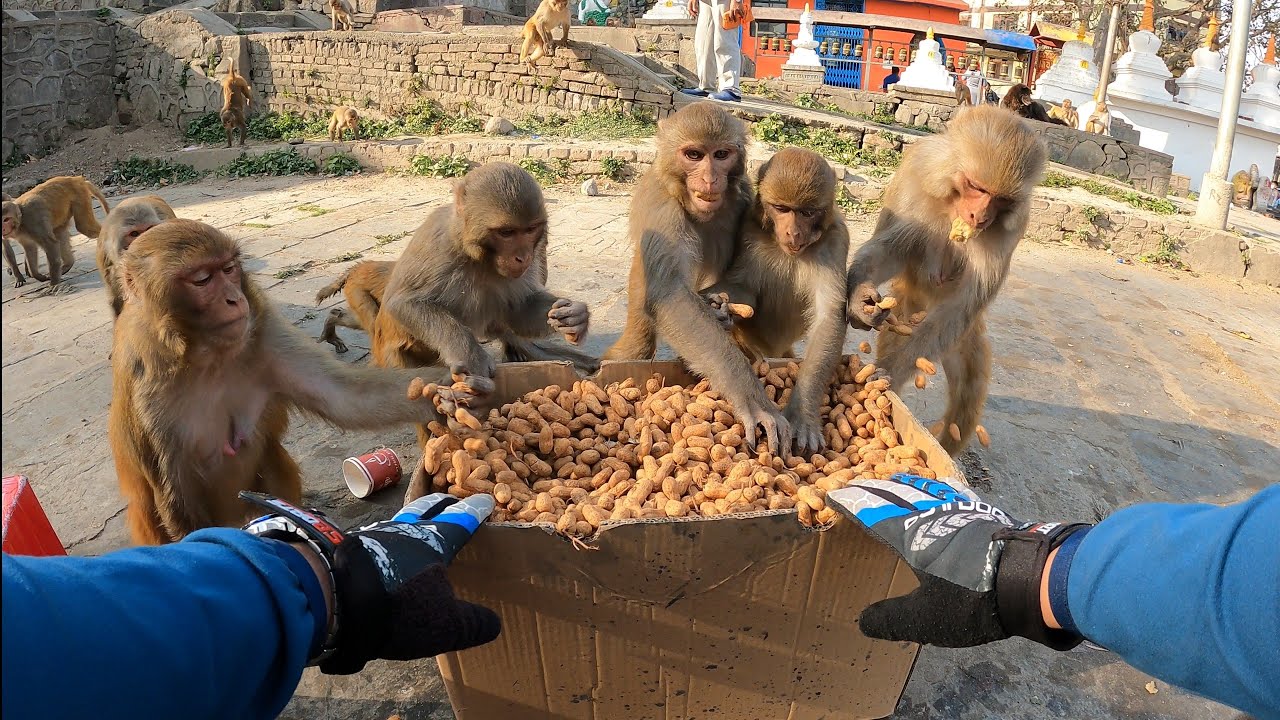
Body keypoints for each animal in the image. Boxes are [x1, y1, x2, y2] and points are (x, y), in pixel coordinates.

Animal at [110, 219, 455, 545]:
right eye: (202, 279)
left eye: (229, 269)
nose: (234, 299)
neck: (205, 355)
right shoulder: (147, 385)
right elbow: (177, 499)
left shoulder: (264, 331)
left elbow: (345, 397)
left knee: (272, 455)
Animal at [601, 102, 791, 452]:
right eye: (693, 154)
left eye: (720, 154)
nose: (709, 178)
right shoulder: (661, 208)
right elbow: (672, 296)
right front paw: (752, 398)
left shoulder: (743, 197)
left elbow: (740, 283)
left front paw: (722, 311)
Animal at [704, 148, 849, 455]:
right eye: (782, 209)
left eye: (807, 212)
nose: (793, 232)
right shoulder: (749, 228)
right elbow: (743, 288)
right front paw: (719, 308)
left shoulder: (837, 239)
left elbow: (829, 315)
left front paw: (803, 412)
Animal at [844, 105, 1047, 455]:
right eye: (977, 187)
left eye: (1002, 200)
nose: (980, 217)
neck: (952, 201)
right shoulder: (916, 181)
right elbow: (893, 250)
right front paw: (860, 298)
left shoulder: (1010, 230)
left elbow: (962, 304)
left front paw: (889, 371)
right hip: (906, 312)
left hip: (961, 339)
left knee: (968, 389)